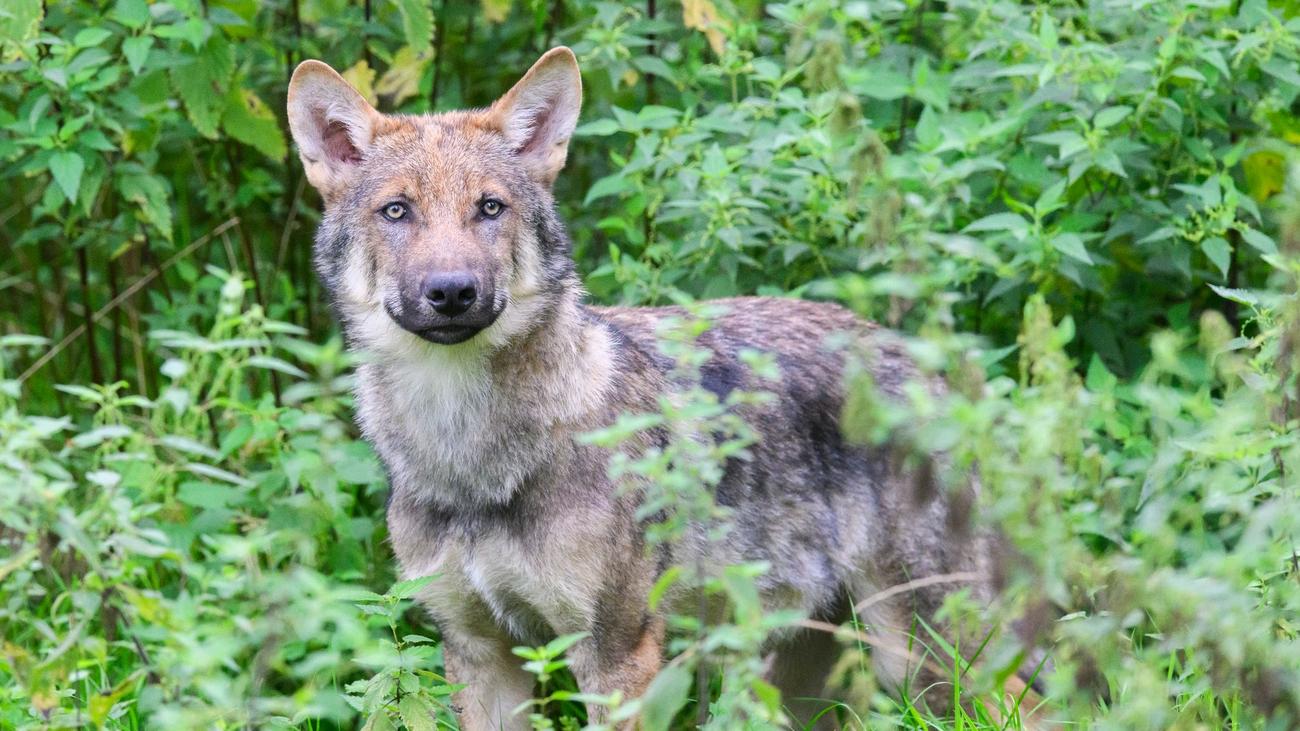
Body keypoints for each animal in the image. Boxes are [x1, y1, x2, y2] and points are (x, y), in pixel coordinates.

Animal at [287, 47, 1000, 729]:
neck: (468, 455)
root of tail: (924, 364)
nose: (452, 291)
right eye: (397, 210)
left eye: (489, 208)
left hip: (925, 661)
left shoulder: (616, 653)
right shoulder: (478, 652)